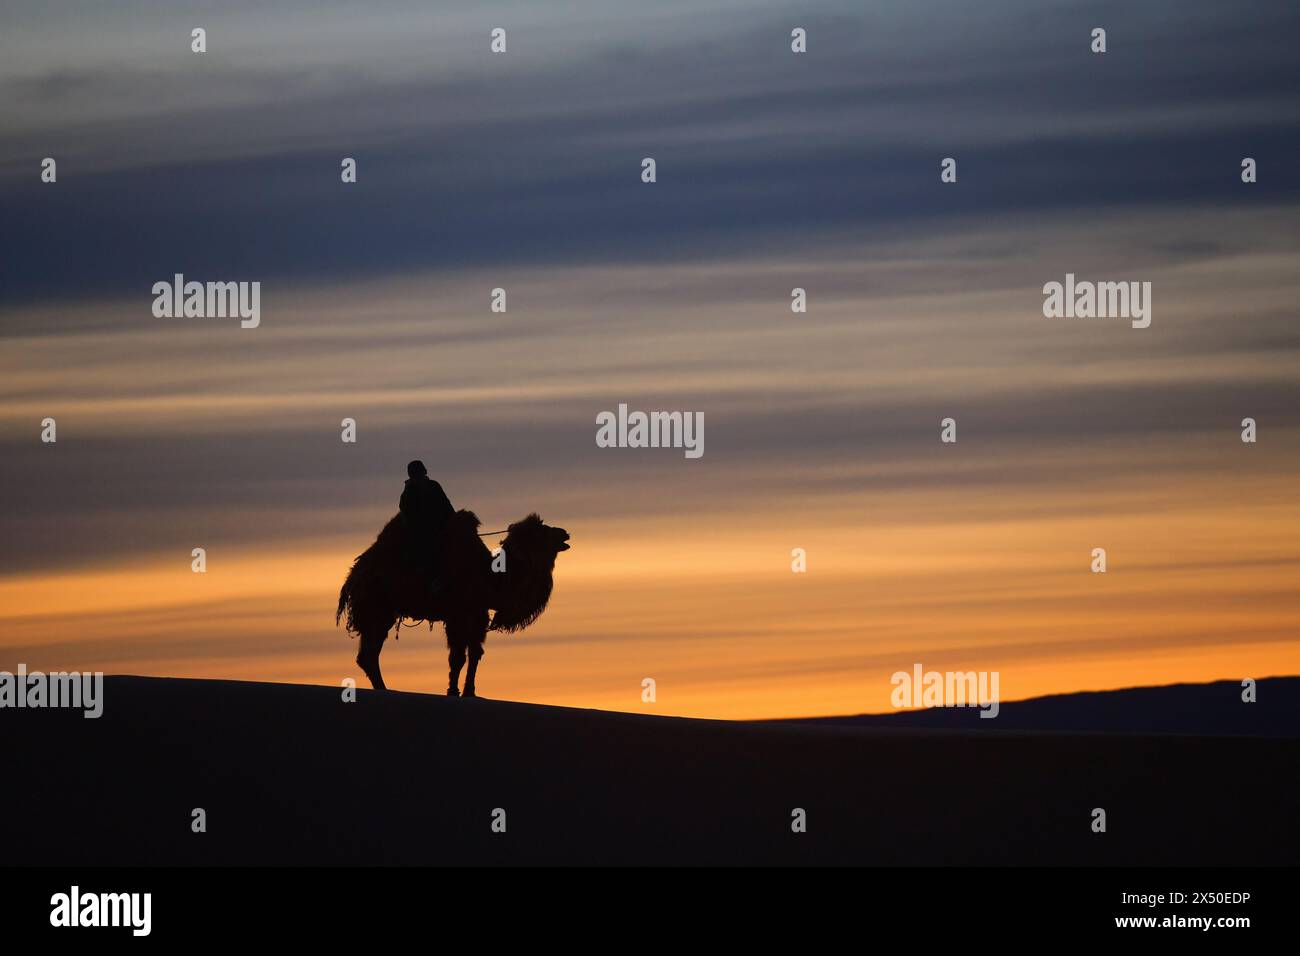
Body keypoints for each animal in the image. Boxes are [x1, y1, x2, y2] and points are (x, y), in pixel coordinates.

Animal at [336, 510, 570, 696]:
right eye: (543, 531)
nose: (564, 532)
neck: (491, 579)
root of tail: (353, 577)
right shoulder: (458, 615)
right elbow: (457, 658)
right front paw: (453, 691)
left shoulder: (477, 614)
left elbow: (475, 654)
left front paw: (470, 692)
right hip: (376, 608)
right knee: (368, 655)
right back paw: (384, 689)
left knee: (368, 654)